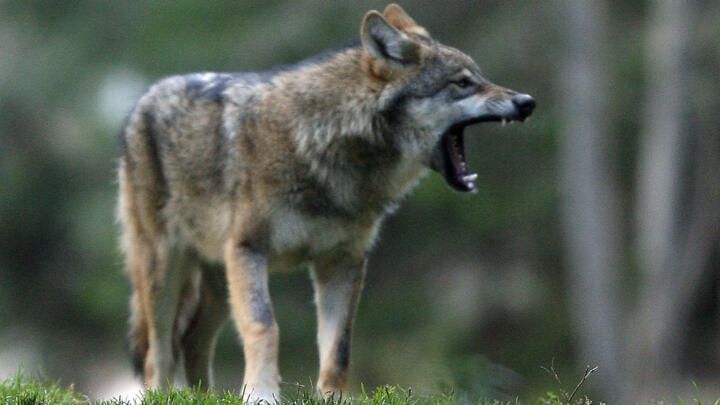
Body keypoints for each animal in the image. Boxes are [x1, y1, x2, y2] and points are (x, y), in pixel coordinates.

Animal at [118, 3, 534, 403]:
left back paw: (206, 396)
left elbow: (339, 347)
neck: (327, 144)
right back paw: (164, 395)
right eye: (462, 83)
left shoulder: (342, 262)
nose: (527, 101)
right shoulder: (249, 249)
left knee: (191, 341)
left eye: (479, 76)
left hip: (219, 284)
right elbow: (264, 326)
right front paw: (262, 395)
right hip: (165, 273)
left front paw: (334, 397)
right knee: (158, 352)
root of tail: (146, 96)